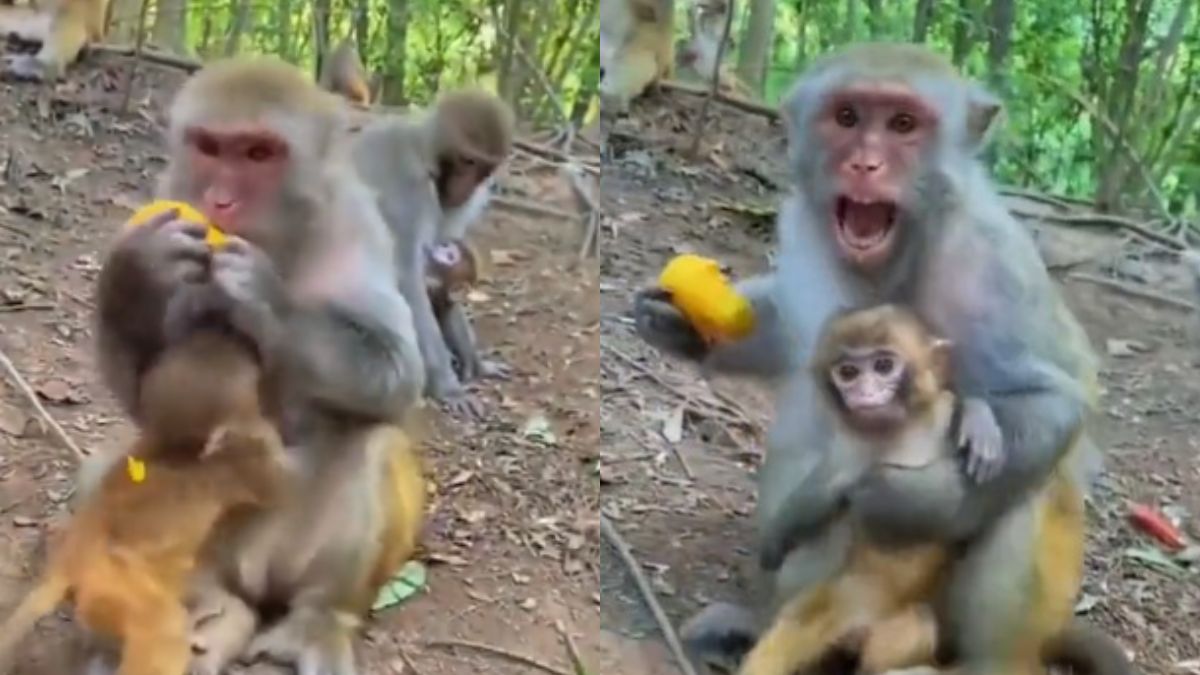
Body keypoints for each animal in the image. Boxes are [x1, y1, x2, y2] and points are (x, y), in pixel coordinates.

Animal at [0, 288, 290, 675]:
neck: (173, 447)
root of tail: (72, 557)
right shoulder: (240, 466)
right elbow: (276, 486)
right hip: (115, 586)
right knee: (162, 628)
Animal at [89, 57, 427, 675]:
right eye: (209, 146)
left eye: (258, 153)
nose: (221, 201)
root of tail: (250, 574)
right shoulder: (167, 200)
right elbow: (145, 401)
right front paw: (135, 272)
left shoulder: (358, 225)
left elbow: (398, 369)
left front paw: (266, 299)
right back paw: (210, 612)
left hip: (292, 551)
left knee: (369, 441)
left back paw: (317, 620)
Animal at [350, 88, 515, 418]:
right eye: (467, 160)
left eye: (484, 168)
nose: (467, 187)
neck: (425, 154)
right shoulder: (410, 187)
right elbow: (408, 281)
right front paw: (447, 386)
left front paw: (476, 363)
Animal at [632, 43, 1109, 673]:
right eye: (848, 117)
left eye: (904, 125)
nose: (865, 165)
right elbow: (789, 333)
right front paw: (680, 325)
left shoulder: (992, 265)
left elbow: (1052, 398)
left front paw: (905, 499)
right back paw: (762, 626)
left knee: (1032, 484)